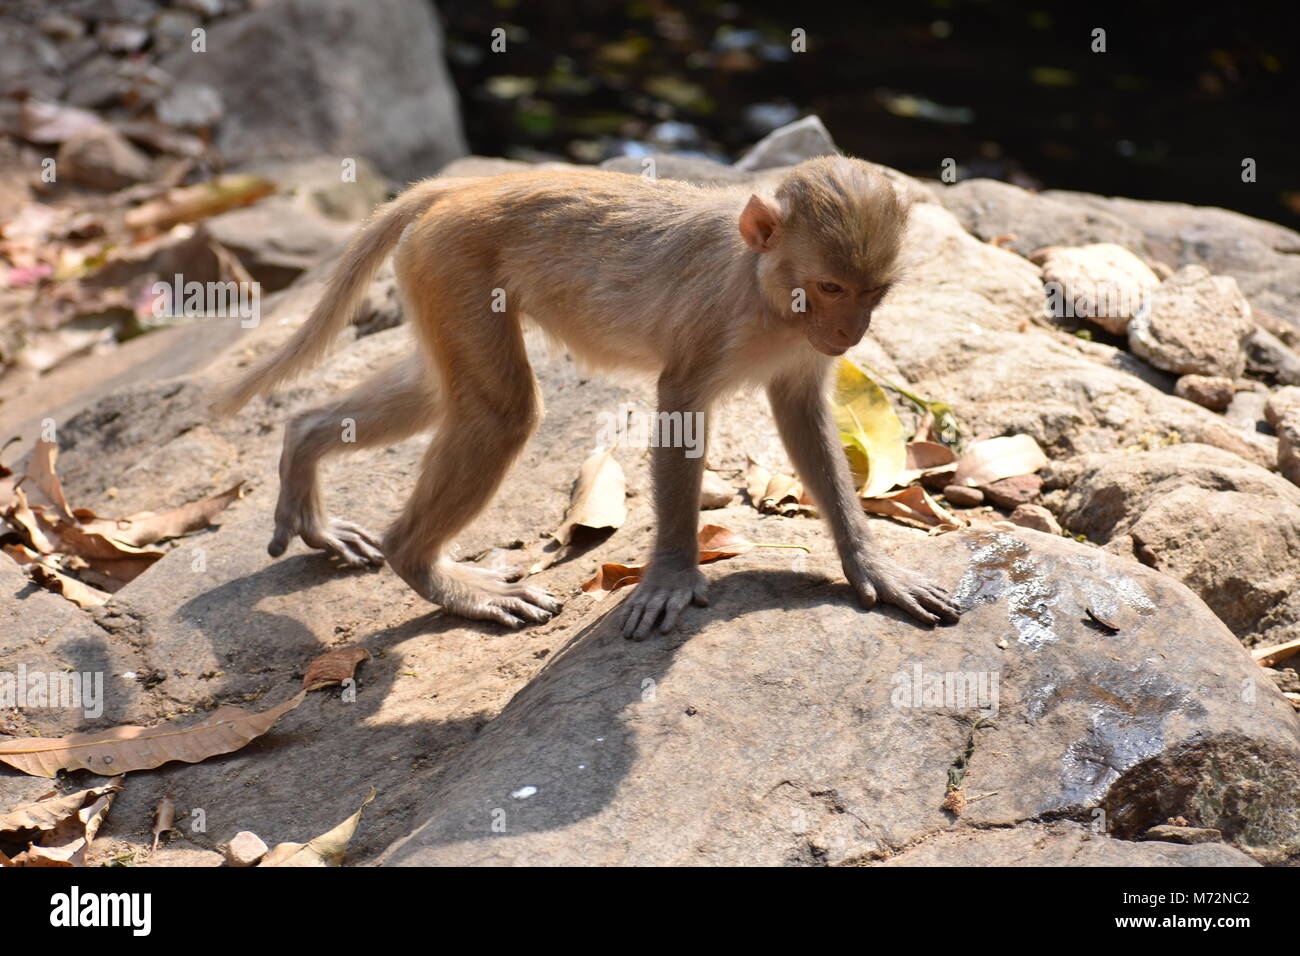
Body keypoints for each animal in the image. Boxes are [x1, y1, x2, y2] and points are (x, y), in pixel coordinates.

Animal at [214, 155, 961, 640]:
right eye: (831, 288)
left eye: (873, 292)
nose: (849, 331)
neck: (767, 291)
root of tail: (460, 190)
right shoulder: (717, 318)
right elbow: (680, 407)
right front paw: (670, 575)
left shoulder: (802, 353)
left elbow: (804, 417)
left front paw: (868, 563)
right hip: (452, 264)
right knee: (500, 411)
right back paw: (428, 569)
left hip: (434, 275)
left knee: (441, 393)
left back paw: (305, 446)